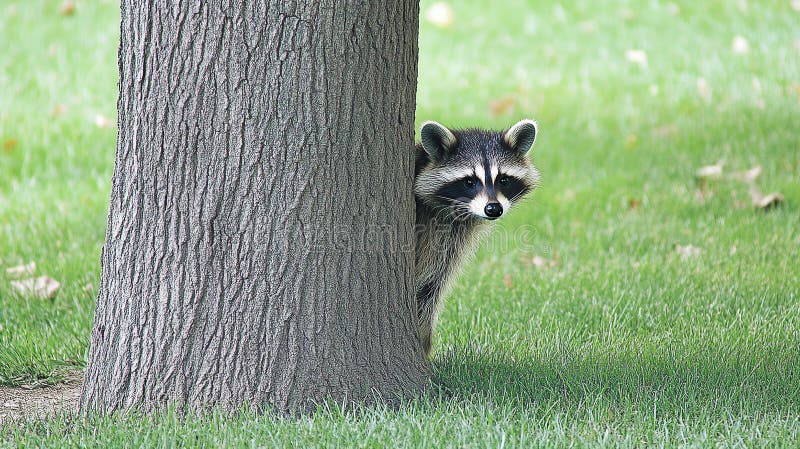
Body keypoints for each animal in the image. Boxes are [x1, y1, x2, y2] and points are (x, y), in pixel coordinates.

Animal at [413, 119, 540, 357]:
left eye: (504, 180)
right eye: (469, 182)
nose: (493, 209)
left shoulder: (450, 242)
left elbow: (429, 287)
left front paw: (423, 340)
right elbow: (426, 285)